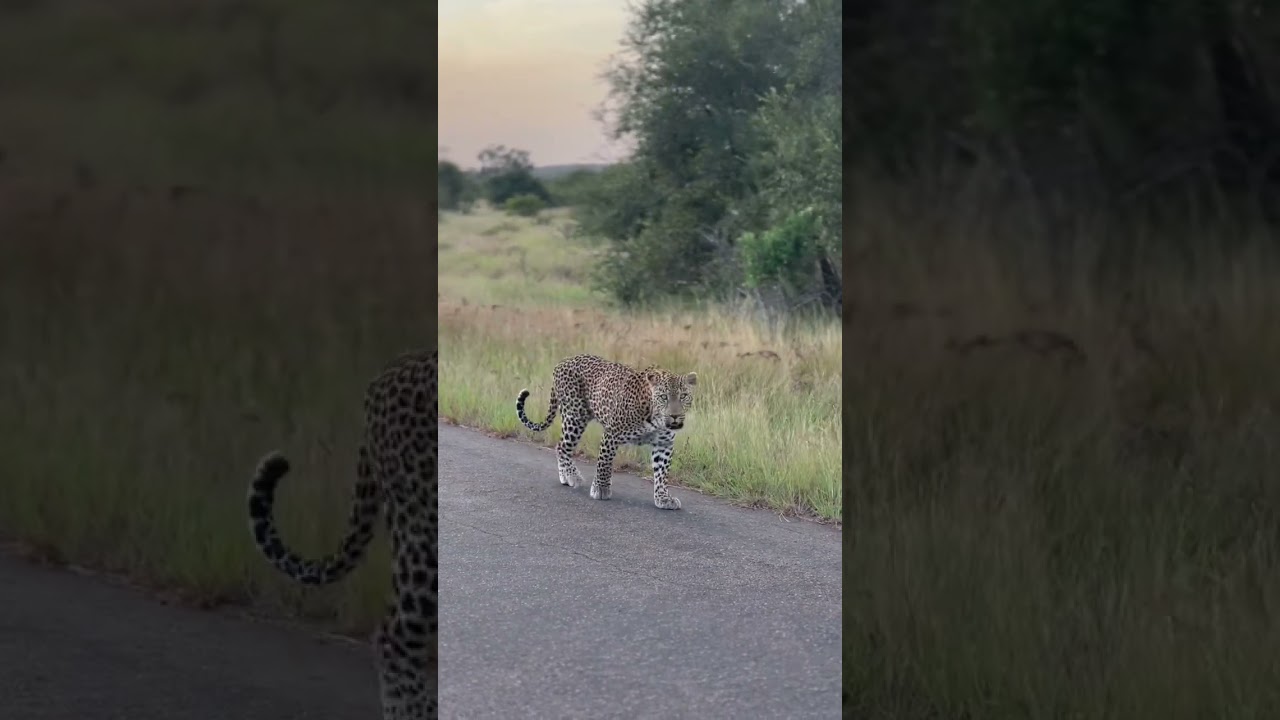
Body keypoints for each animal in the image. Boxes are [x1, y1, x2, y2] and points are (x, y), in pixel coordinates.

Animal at [516, 353, 696, 510]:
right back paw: (571, 476)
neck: (654, 419)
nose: (675, 416)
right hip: (574, 417)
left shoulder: (664, 444)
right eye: (663, 397)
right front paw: (601, 489)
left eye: (684, 396)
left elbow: (662, 473)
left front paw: (663, 498)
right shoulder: (612, 434)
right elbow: (605, 463)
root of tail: (563, 361)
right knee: (562, 446)